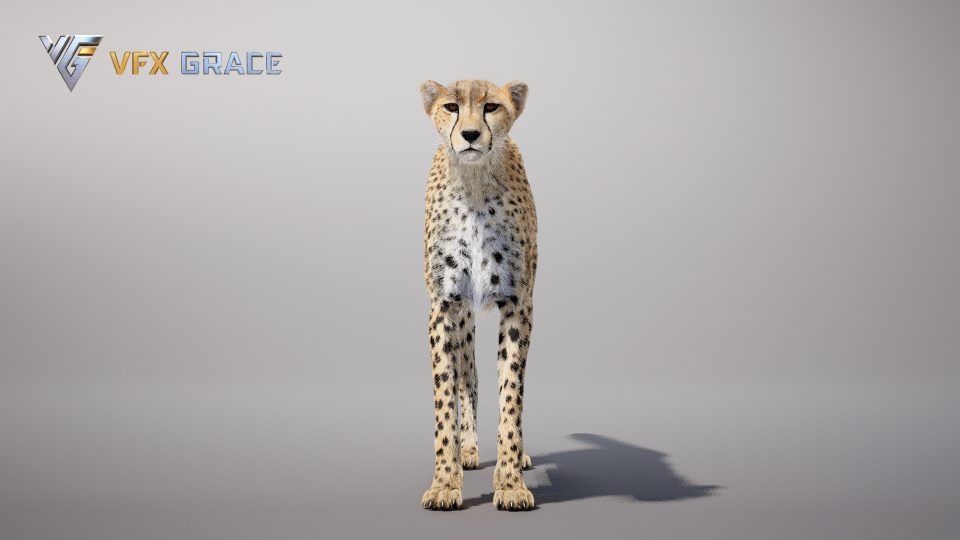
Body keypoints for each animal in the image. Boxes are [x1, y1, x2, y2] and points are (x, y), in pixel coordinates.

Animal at [419, 79, 538, 511]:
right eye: (451, 107)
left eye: (491, 107)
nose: (470, 134)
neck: (473, 185)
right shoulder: (444, 305)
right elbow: (446, 394)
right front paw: (445, 482)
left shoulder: (519, 305)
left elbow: (511, 394)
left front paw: (511, 482)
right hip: (463, 317)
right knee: (467, 374)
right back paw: (468, 450)